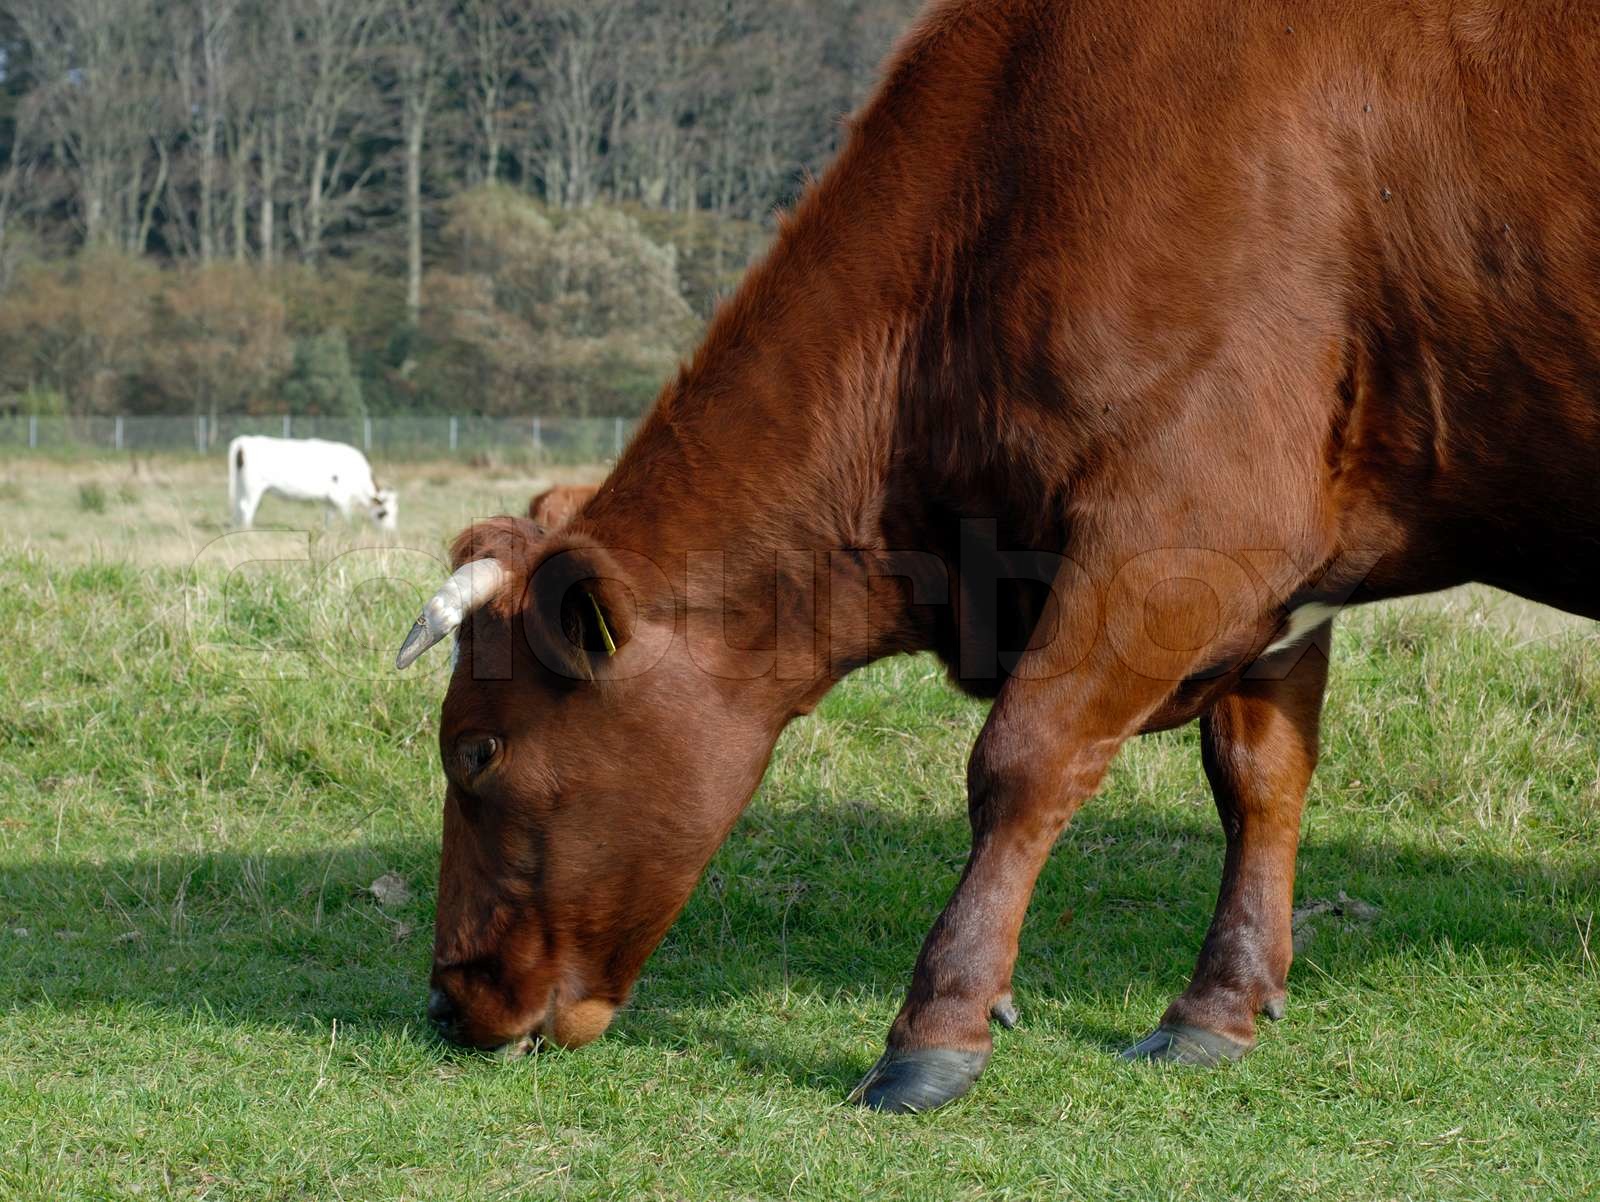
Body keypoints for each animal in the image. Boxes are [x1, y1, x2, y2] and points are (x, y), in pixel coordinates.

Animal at [228, 436, 398, 532]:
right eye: (384, 513)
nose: (391, 532)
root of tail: (243, 441)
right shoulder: (341, 496)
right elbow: (347, 515)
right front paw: (350, 530)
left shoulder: (331, 499)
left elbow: (329, 516)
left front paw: (328, 531)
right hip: (253, 486)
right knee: (247, 507)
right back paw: (248, 530)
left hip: (242, 484)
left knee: (238, 506)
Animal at [394, 0, 1600, 1113]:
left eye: (477, 752)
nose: (448, 997)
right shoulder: (1281, 580)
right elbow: (1258, 777)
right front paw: (1214, 1008)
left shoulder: (1182, 526)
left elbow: (1021, 760)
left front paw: (935, 1032)